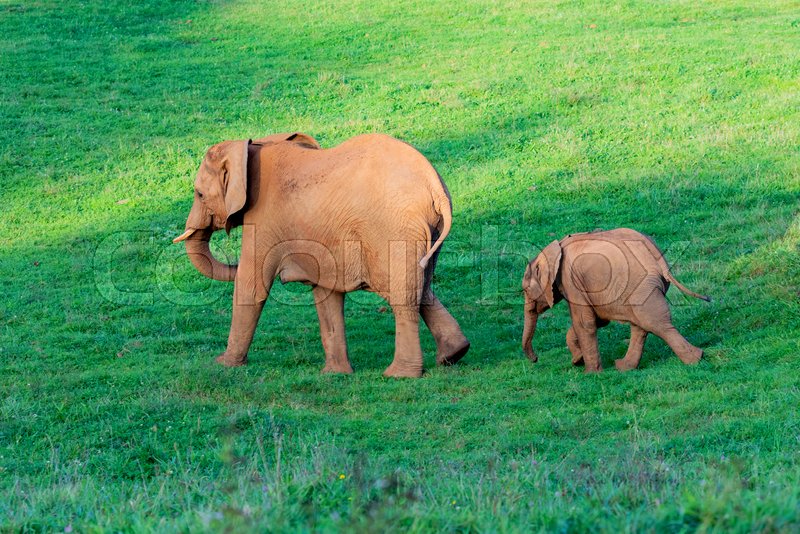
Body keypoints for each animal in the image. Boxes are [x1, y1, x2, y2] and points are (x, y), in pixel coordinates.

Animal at [173, 132, 470, 377]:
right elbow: (327, 294)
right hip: (424, 231)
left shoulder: (264, 220)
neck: (251, 147)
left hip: (392, 230)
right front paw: (335, 374)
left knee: (402, 295)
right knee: (422, 287)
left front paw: (224, 365)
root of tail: (435, 188)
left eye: (199, 194)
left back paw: (399, 375)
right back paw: (453, 355)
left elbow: (251, 286)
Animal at [521, 228, 710, 372]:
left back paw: (695, 360)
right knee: (641, 324)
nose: (535, 359)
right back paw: (624, 367)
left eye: (525, 290)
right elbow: (598, 320)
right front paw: (577, 360)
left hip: (640, 285)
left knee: (654, 323)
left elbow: (585, 323)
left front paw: (590, 373)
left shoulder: (571, 281)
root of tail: (656, 255)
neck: (553, 249)